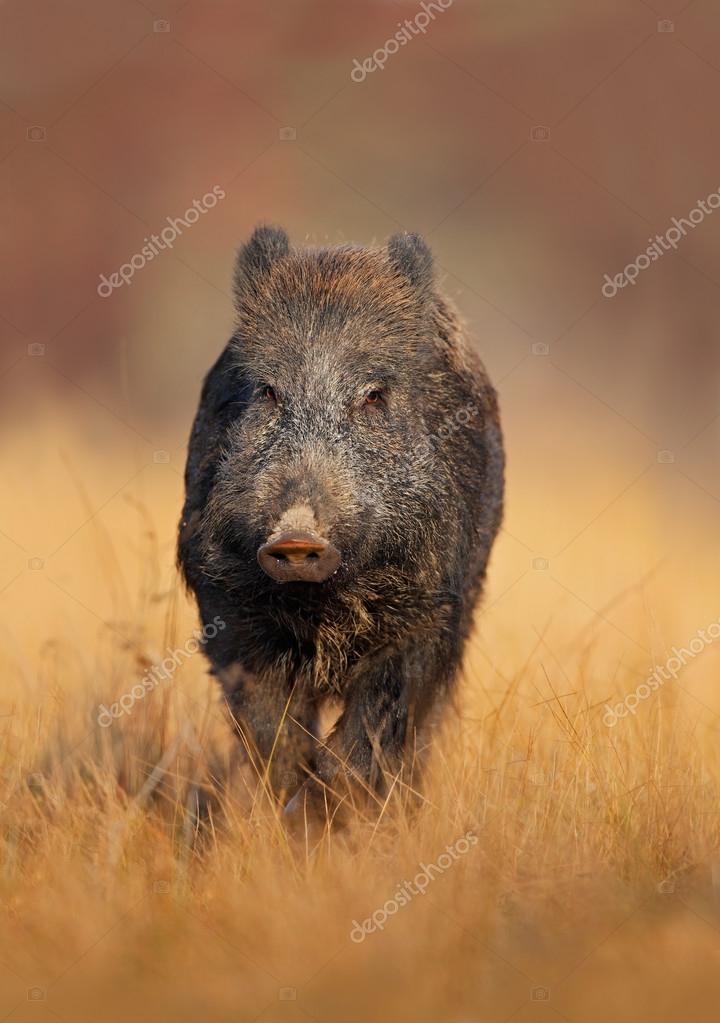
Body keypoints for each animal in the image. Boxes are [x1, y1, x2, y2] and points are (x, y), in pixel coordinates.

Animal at [178, 225, 504, 823]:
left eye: (374, 395)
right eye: (267, 391)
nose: (296, 538)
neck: (322, 603)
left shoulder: (427, 612)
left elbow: (374, 728)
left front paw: (344, 810)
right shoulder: (226, 607)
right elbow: (273, 738)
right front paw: (303, 816)